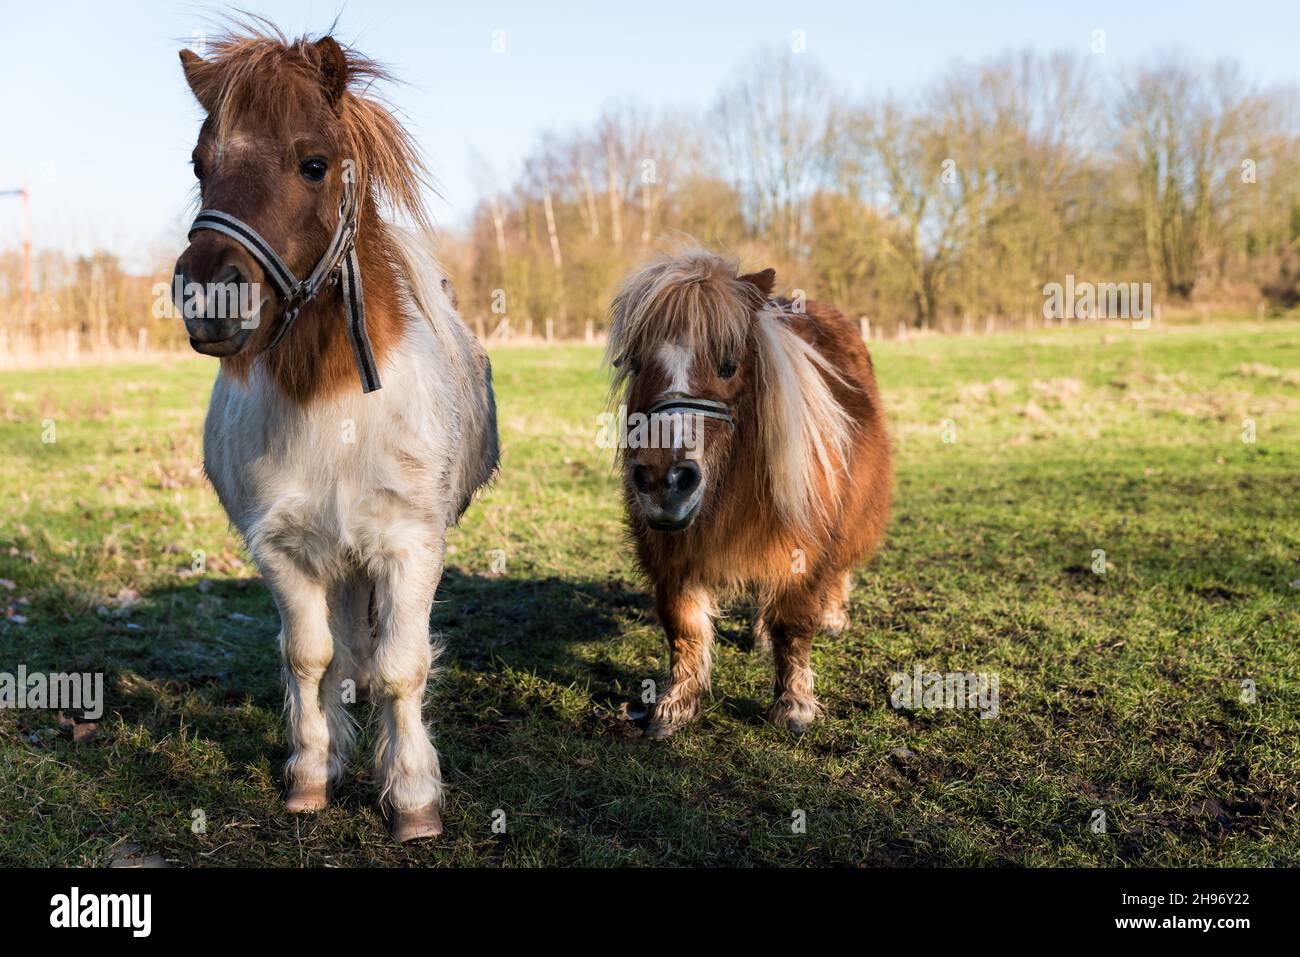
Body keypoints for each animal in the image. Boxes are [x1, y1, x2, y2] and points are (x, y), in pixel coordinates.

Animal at [172, 22, 498, 841]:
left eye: (312, 164)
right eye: (199, 165)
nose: (208, 297)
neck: (335, 405)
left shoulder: (409, 547)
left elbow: (400, 667)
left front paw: (412, 799)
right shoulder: (284, 551)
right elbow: (311, 658)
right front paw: (313, 775)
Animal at [606, 251, 892, 737]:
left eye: (729, 365)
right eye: (637, 363)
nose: (665, 481)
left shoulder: (804, 547)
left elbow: (793, 625)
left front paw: (793, 705)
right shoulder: (671, 552)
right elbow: (684, 625)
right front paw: (677, 705)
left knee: (839, 568)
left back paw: (834, 616)